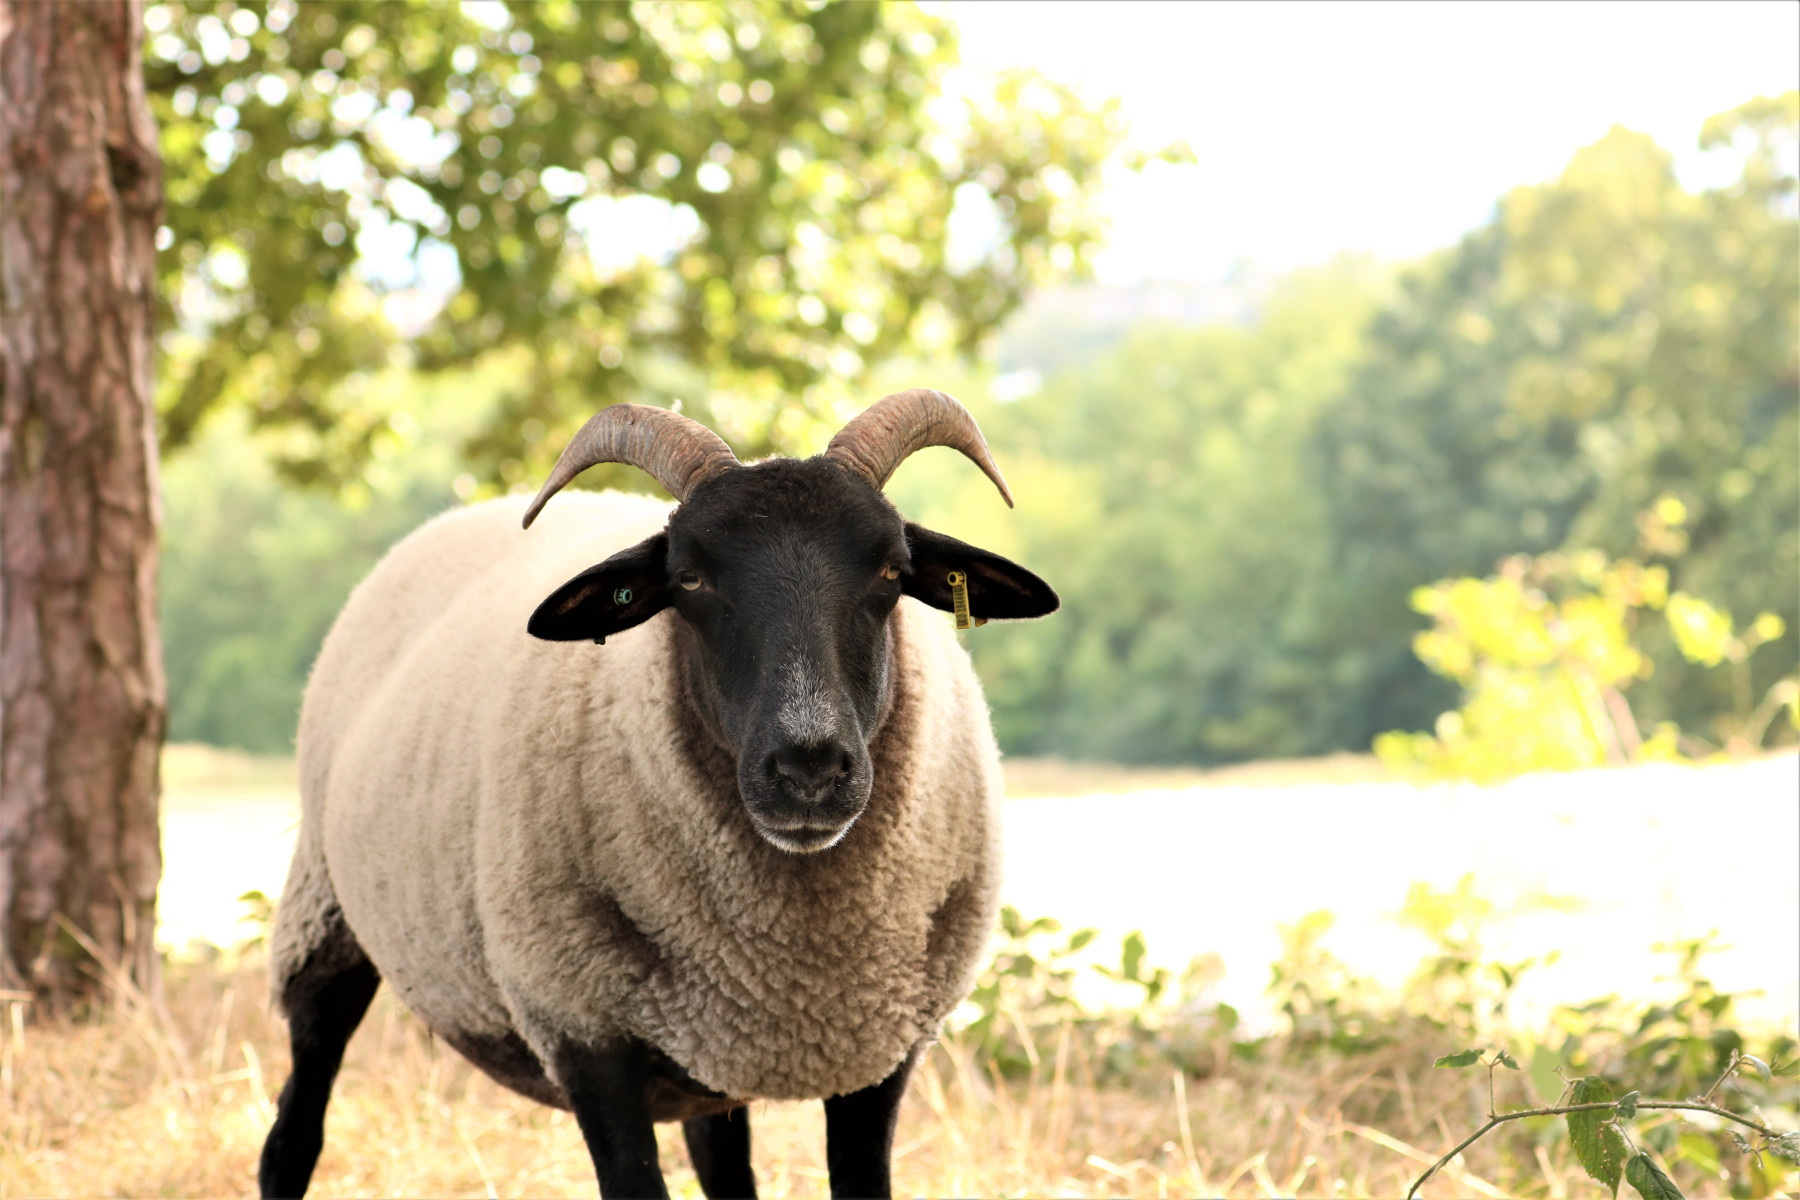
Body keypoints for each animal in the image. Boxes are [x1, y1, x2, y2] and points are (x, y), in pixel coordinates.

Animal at [258, 389, 1059, 1199]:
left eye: (893, 570)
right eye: (690, 579)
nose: (808, 770)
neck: (798, 970)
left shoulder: (882, 1050)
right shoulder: (583, 1029)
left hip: (712, 1049)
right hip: (321, 917)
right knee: (292, 1134)